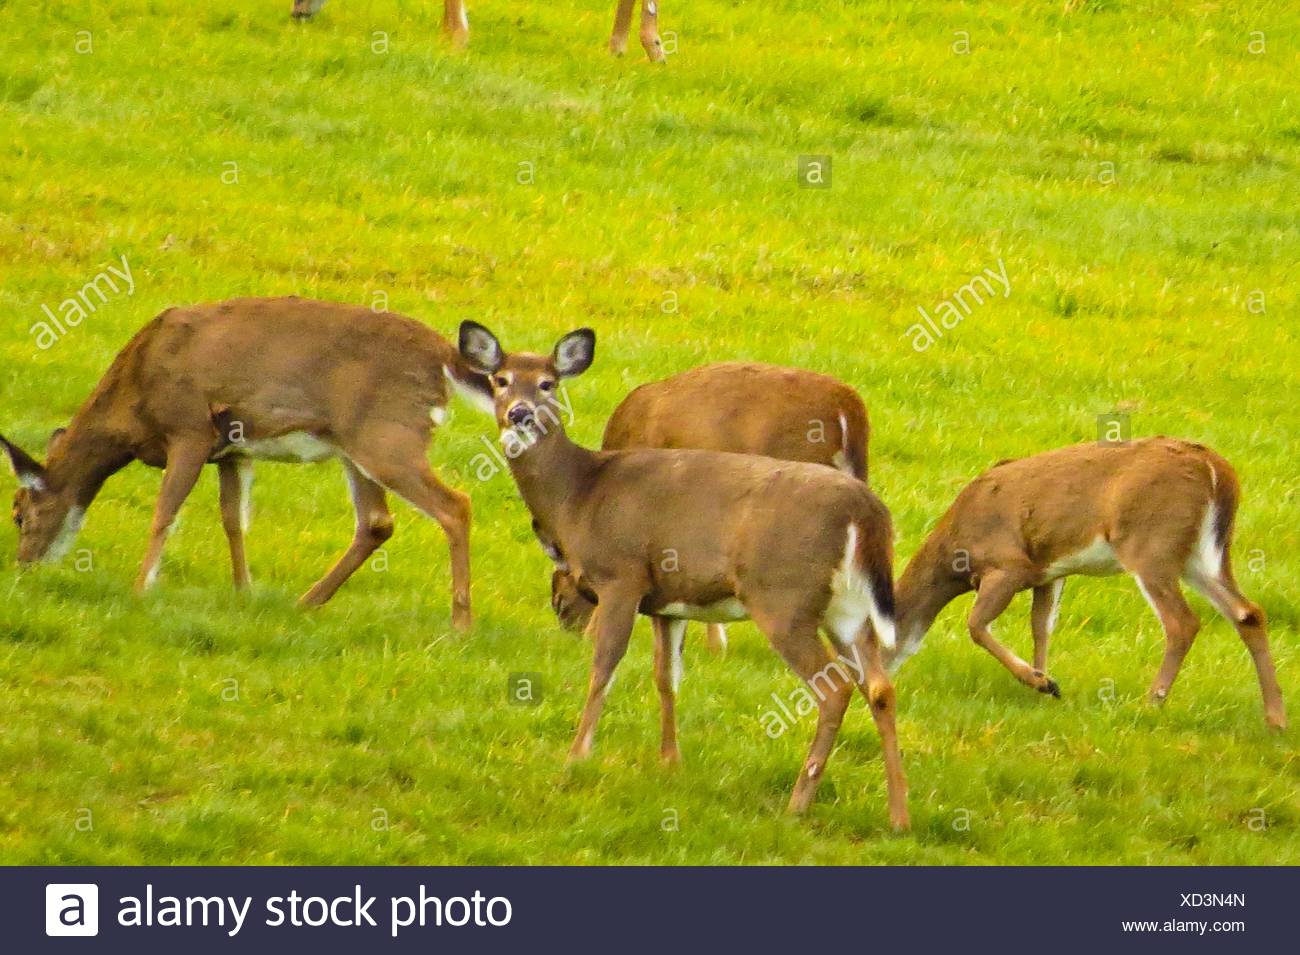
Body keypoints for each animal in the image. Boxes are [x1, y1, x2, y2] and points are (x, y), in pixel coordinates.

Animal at [2, 296, 492, 630]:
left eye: (19, 514)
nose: (23, 568)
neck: (134, 399)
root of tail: (443, 356)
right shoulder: (232, 452)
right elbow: (232, 519)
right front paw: (243, 592)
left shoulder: (190, 429)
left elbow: (164, 513)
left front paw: (140, 591)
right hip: (357, 447)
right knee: (376, 522)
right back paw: (305, 602)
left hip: (389, 436)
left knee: (456, 505)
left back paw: (460, 624)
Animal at [888, 437, 1286, 729]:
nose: (879, 687)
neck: (953, 547)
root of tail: (1216, 470)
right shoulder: (1048, 572)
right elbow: (1041, 626)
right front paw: (1044, 684)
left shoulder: (1009, 564)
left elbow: (976, 624)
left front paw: (1040, 682)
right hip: (1201, 555)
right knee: (1248, 613)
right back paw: (1276, 718)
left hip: (1150, 544)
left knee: (1182, 622)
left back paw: (1150, 703)